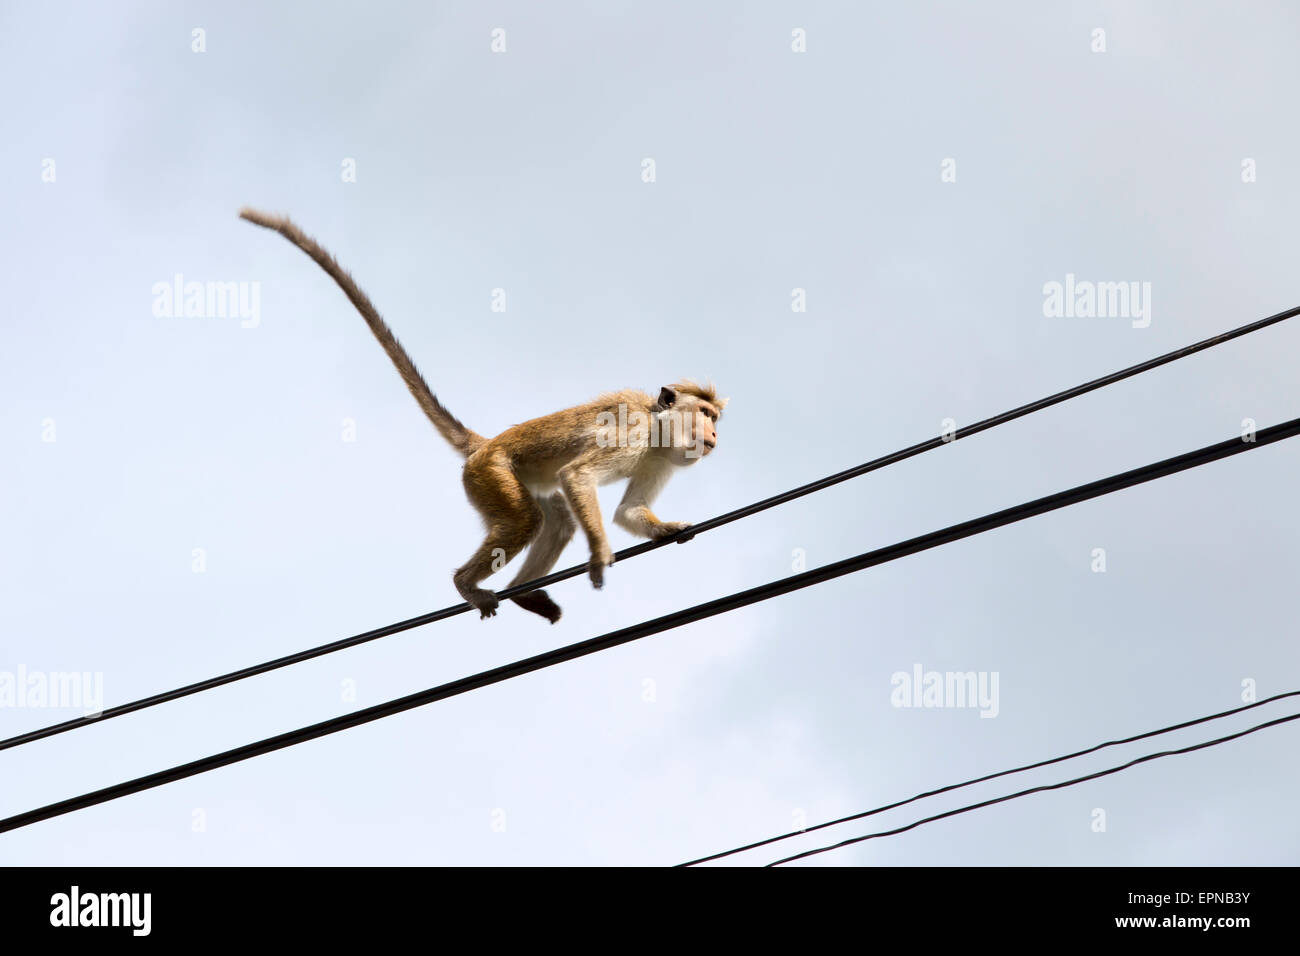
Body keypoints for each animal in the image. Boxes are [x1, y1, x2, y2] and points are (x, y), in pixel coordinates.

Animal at [238, 208, 725, 622]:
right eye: (703, 413)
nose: (714, 435)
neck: (657, 428)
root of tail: (486, 443)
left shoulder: (658, 457)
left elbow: (629, 510)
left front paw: (666, 529)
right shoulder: (633, 434)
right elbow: (579, 476)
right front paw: (601, 552)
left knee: (556, 519)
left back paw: (523, 592)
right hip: (489, 473)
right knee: (527, 519)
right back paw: (466, 584)